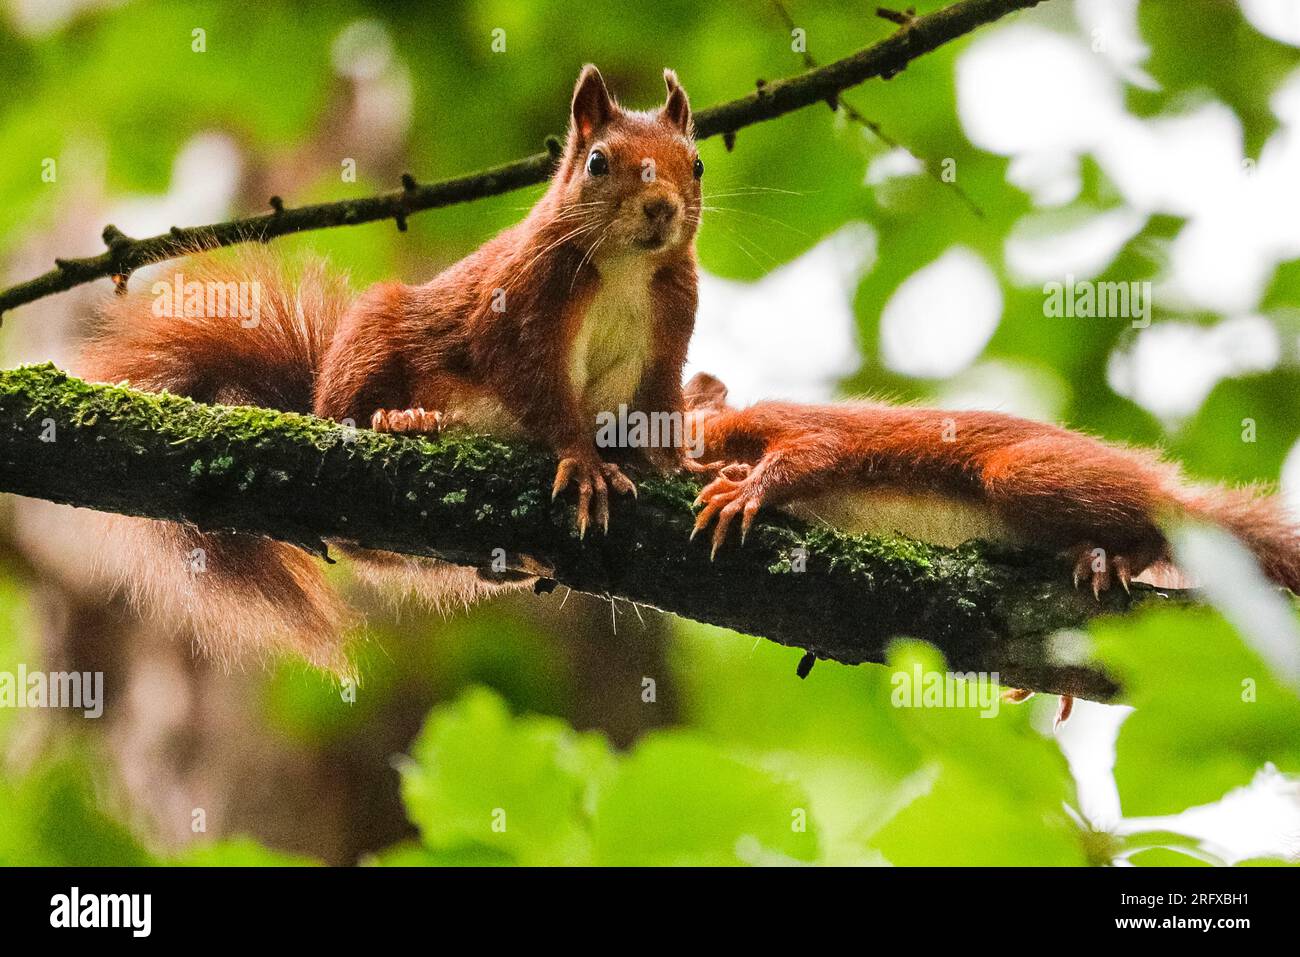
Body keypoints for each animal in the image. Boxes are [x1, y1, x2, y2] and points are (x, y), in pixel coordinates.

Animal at [76, 65, 706, 672]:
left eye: (696, 164)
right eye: (598, 162)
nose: (662, 209)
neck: (626, 267)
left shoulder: (668, 341)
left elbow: (659, 410)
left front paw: (686, 467)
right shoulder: (517, 307)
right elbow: (531, 382)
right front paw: (583, 462)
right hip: (371, 342)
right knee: (345, 411)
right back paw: (400, 420)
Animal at [682, 372, 1300, 724]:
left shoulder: (795, 424)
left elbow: (811, 453)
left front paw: (741, 489)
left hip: (1028, 474)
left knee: (1157, 523)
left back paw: (1116, 557)